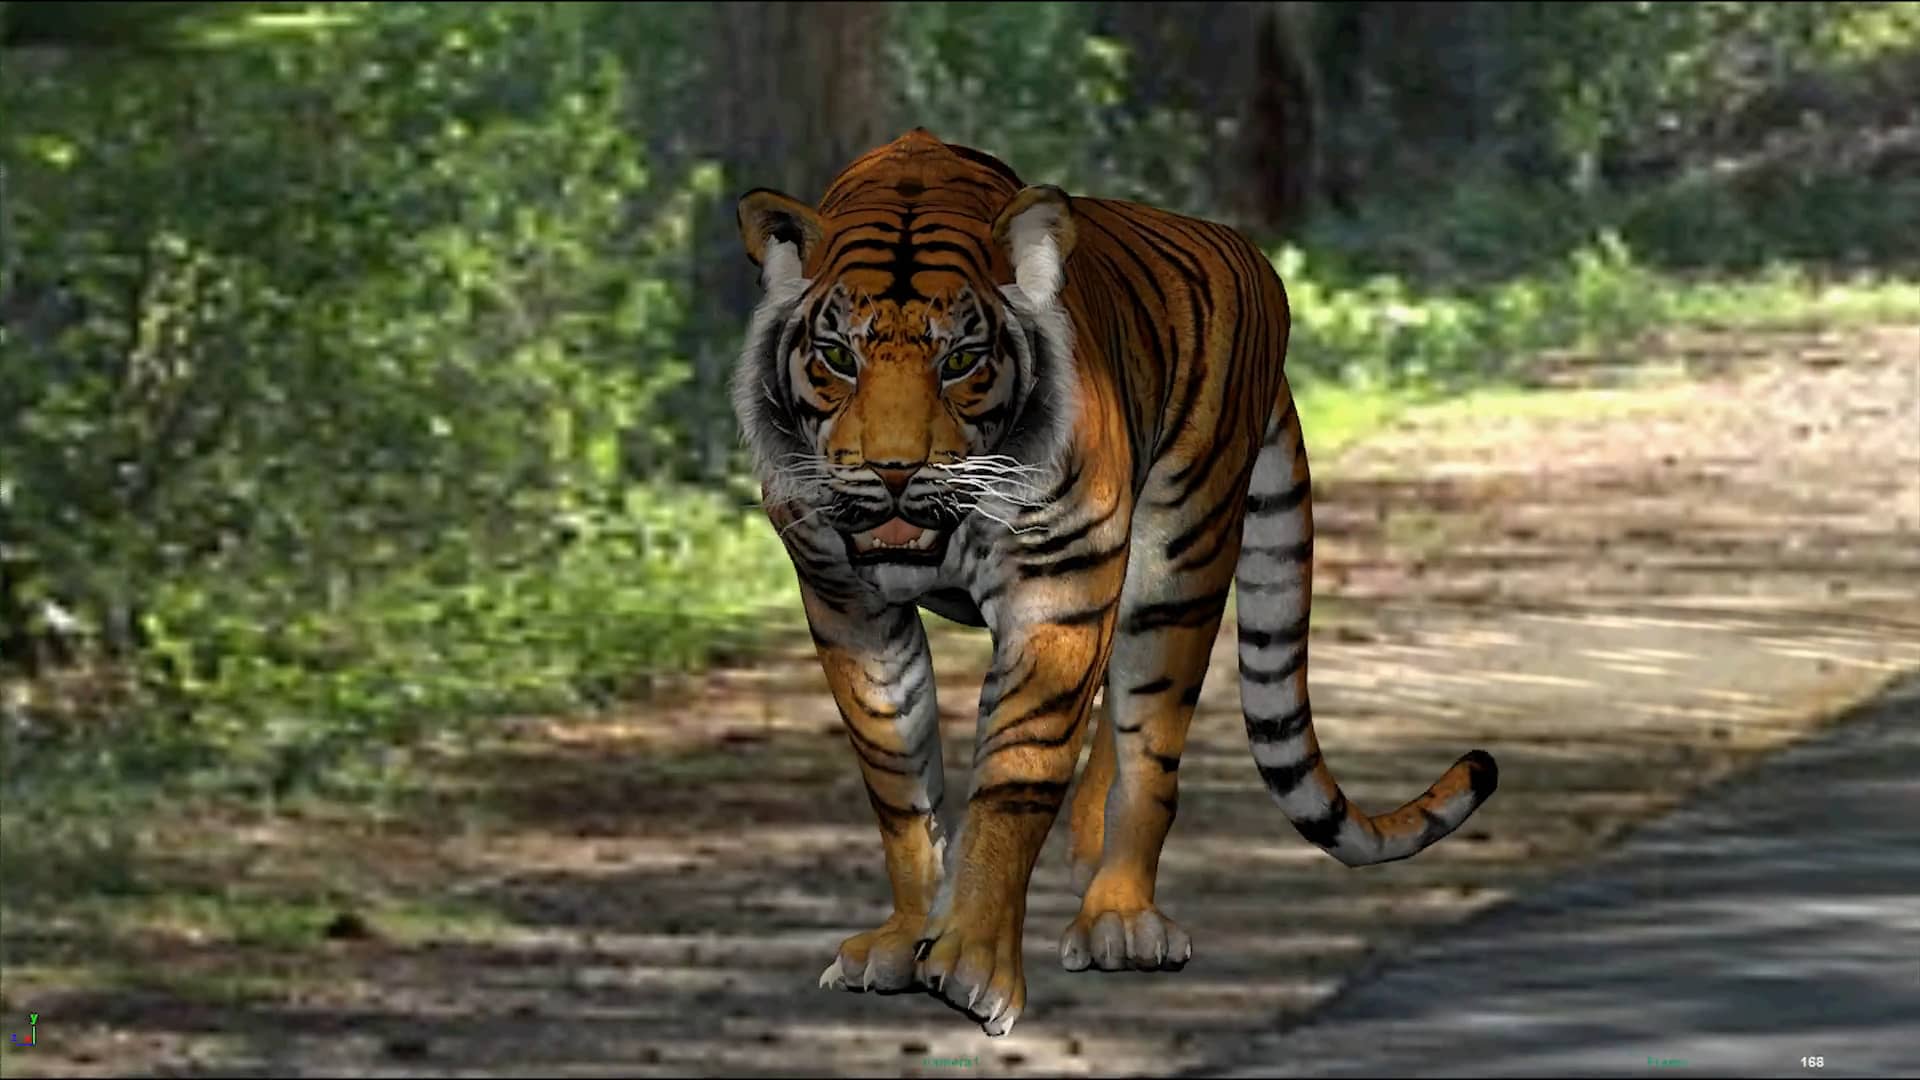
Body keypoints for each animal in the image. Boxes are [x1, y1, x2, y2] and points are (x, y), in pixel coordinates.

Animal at [730, 128, 1498, 1037]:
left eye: (961, 360)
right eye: (838, 357)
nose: (892, 471)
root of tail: (1254, 261)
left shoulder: (1059, 587)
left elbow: (1016, 775)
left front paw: (971, 959)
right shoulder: (846, 601)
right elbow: (898, 780)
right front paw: (908, 933)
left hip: (1179, 563)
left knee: (1147, 756)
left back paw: (1118, 915)